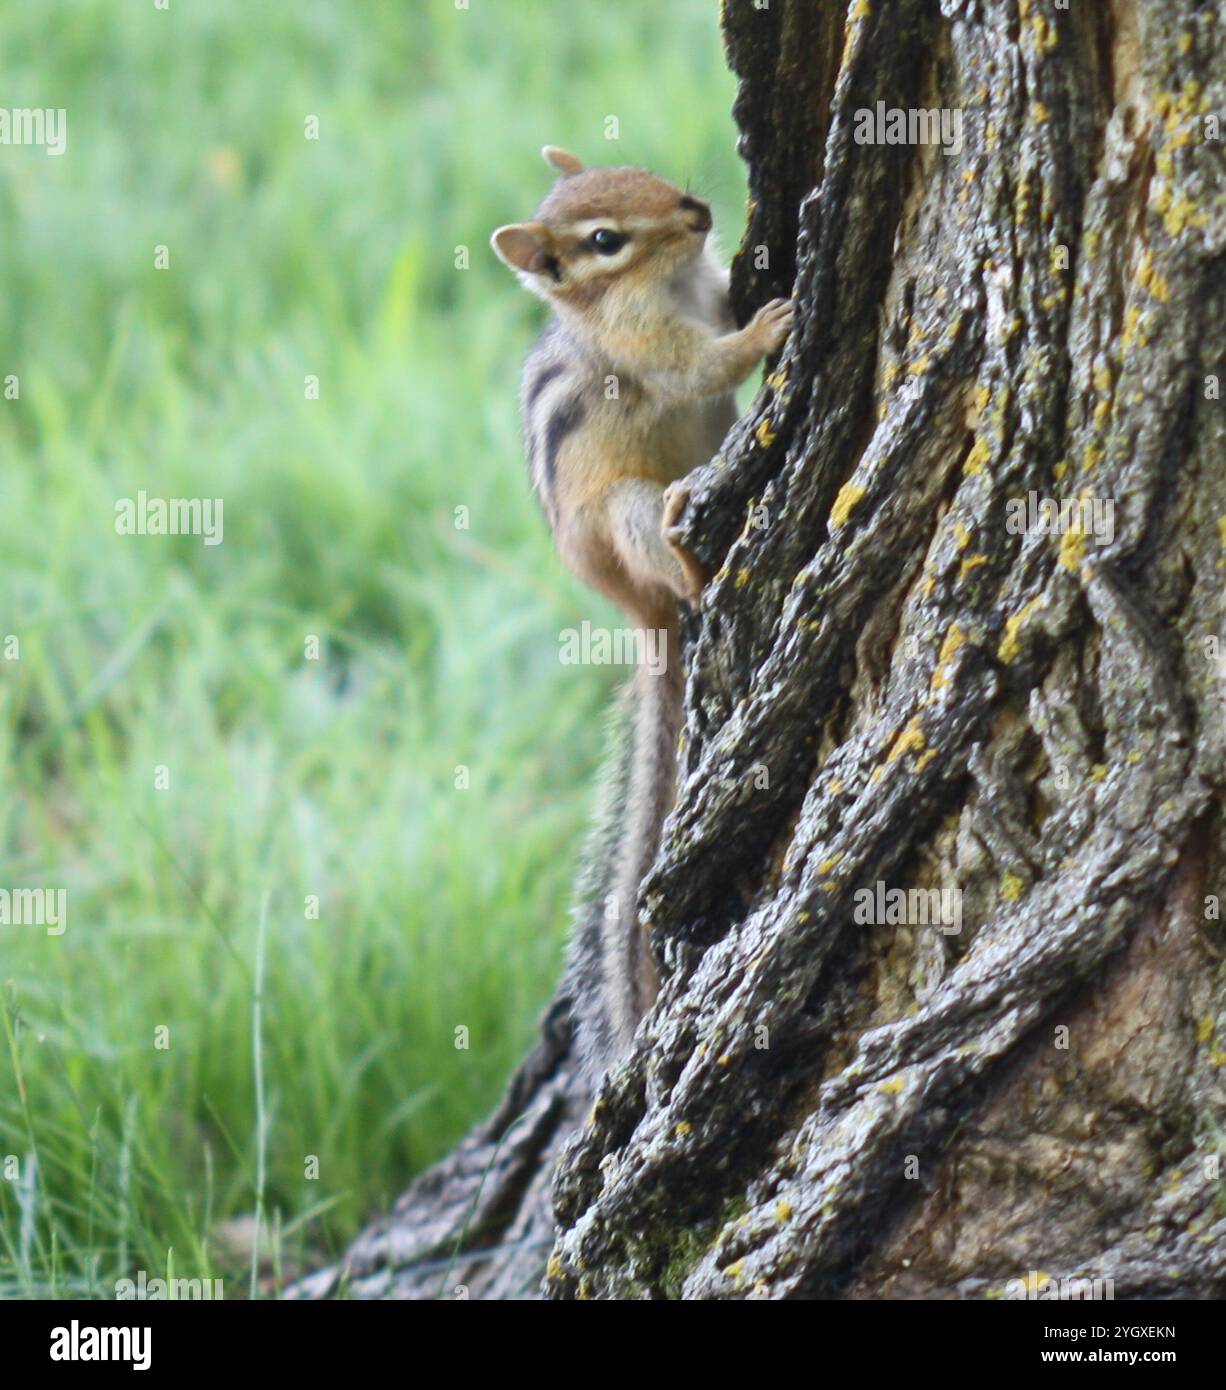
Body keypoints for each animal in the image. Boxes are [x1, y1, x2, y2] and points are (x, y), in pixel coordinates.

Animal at [491, 146, 793, 1065]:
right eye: (603, 240)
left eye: (639, 169)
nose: (698, 211)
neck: (669, 283)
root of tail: (636, 617)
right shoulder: (646, 343)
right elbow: (700, 366)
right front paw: (768, 330)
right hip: (622, 515)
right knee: (671, 565)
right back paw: (687, 548)